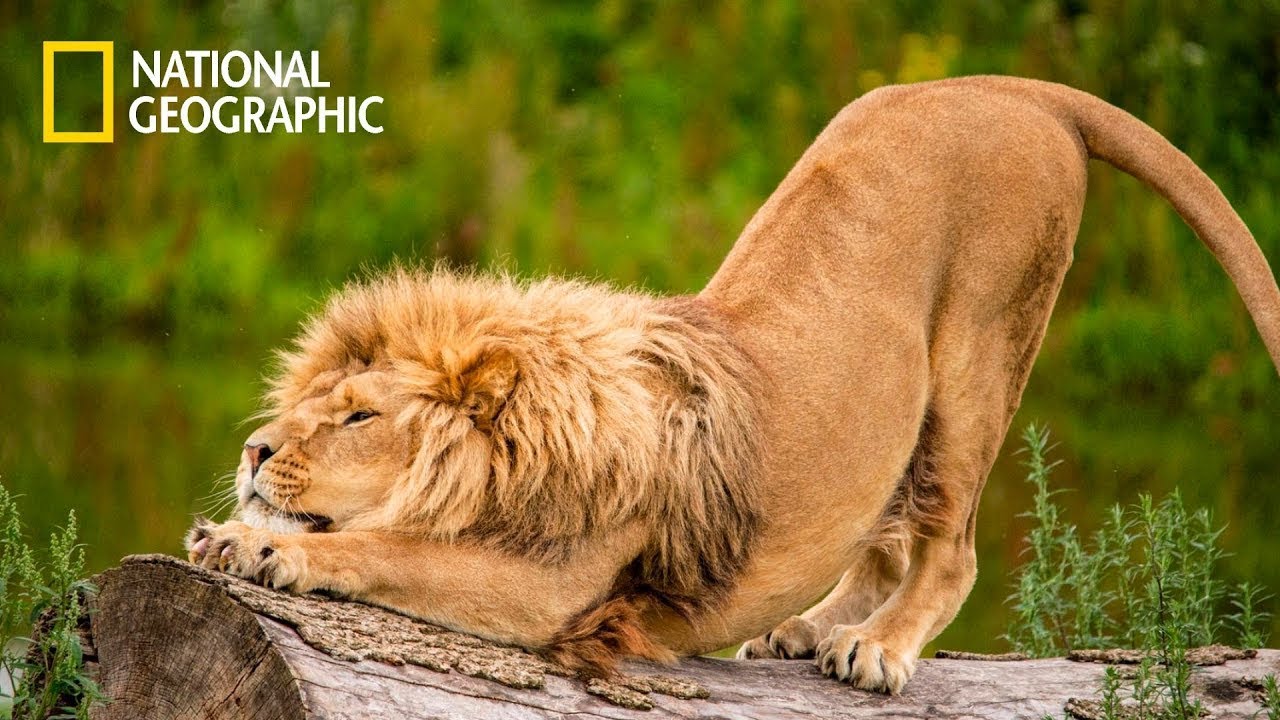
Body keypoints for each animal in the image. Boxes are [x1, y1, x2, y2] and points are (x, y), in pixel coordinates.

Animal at [187, 76, 1280, 694]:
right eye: (299, 410)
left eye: (360, 416)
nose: (252, 451)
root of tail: (1022, 90)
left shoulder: (562, 584)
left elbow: (391, 549)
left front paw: (254, 544)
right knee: (883, 535)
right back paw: (807, 631)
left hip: (980, 351)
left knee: (951, 548)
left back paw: (877, 651)